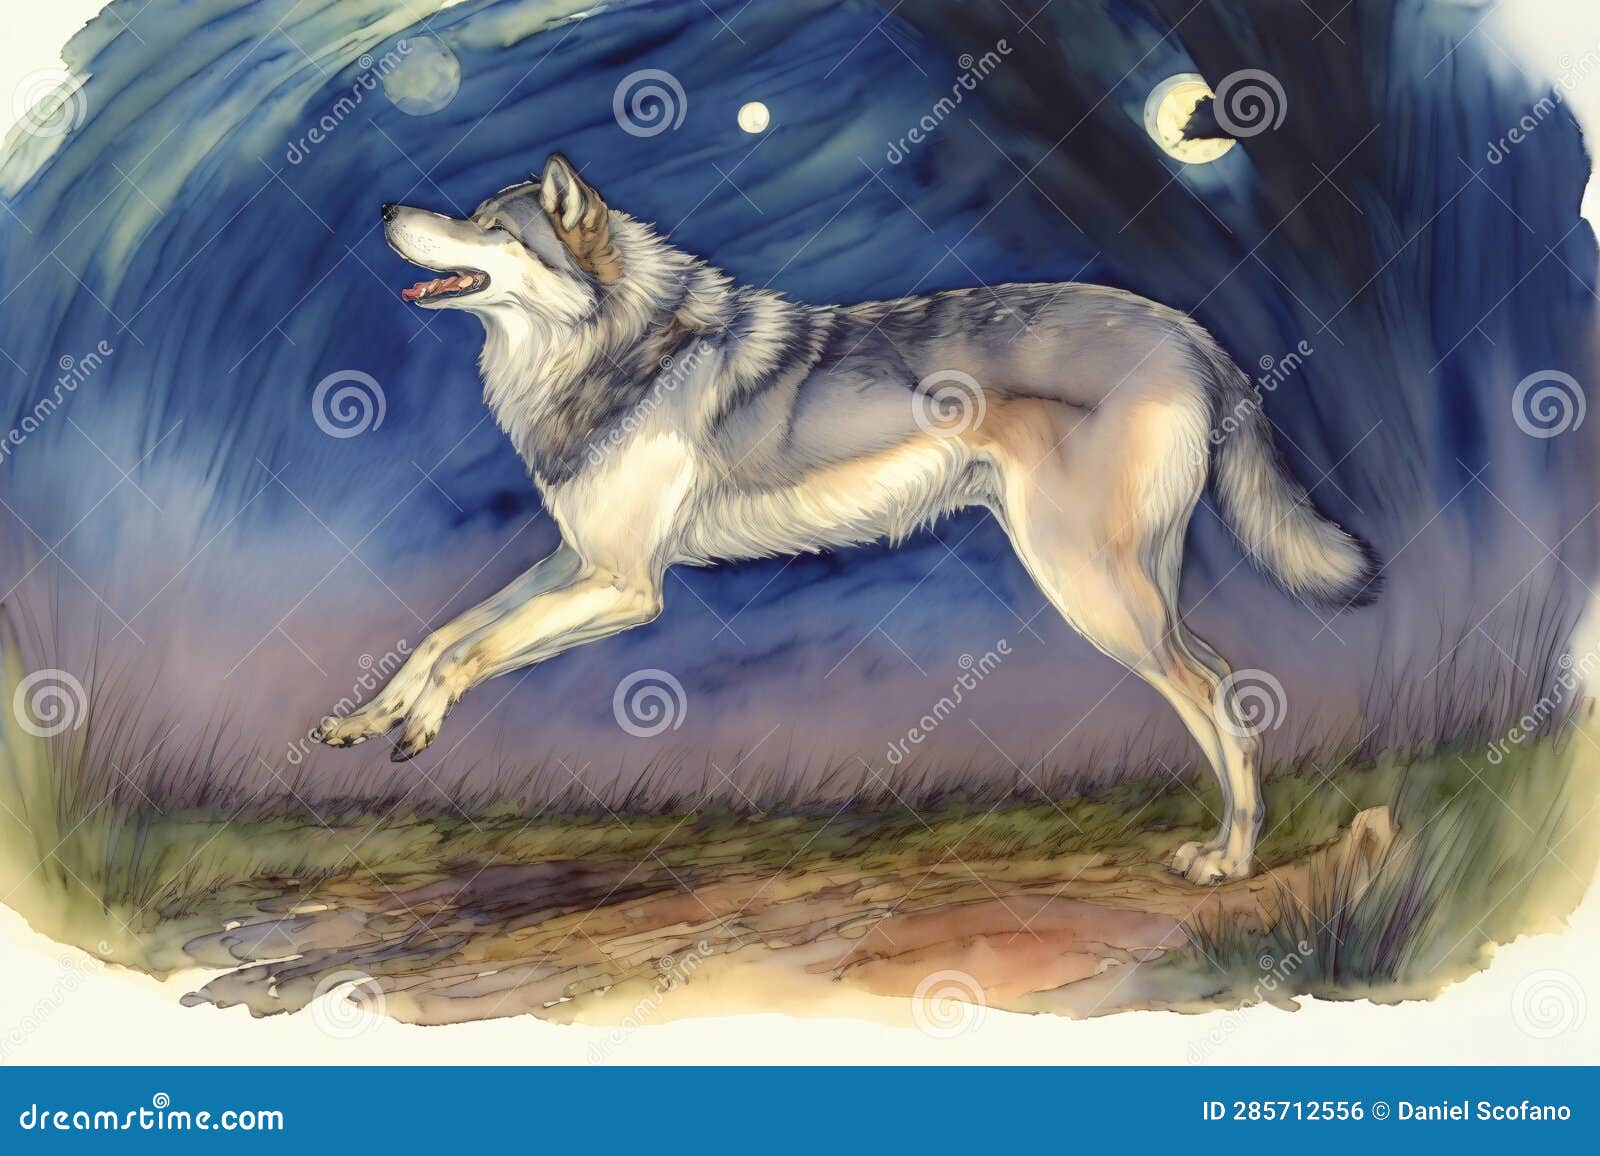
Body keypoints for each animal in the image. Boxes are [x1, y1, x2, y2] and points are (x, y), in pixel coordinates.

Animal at [313, 154, 1380, 883]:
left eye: (489, 225)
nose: (384, 207)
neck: (614, 350)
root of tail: (1189, 329)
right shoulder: (574, 565)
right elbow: (441, 634)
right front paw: (365, 720)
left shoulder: (624, 588)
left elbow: (469, 652)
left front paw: (419, 727)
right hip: (1127, 588)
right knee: (1223, 685)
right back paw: (1225, 846)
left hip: (1090, 588)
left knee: (1217, 695)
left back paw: (1230, 862)